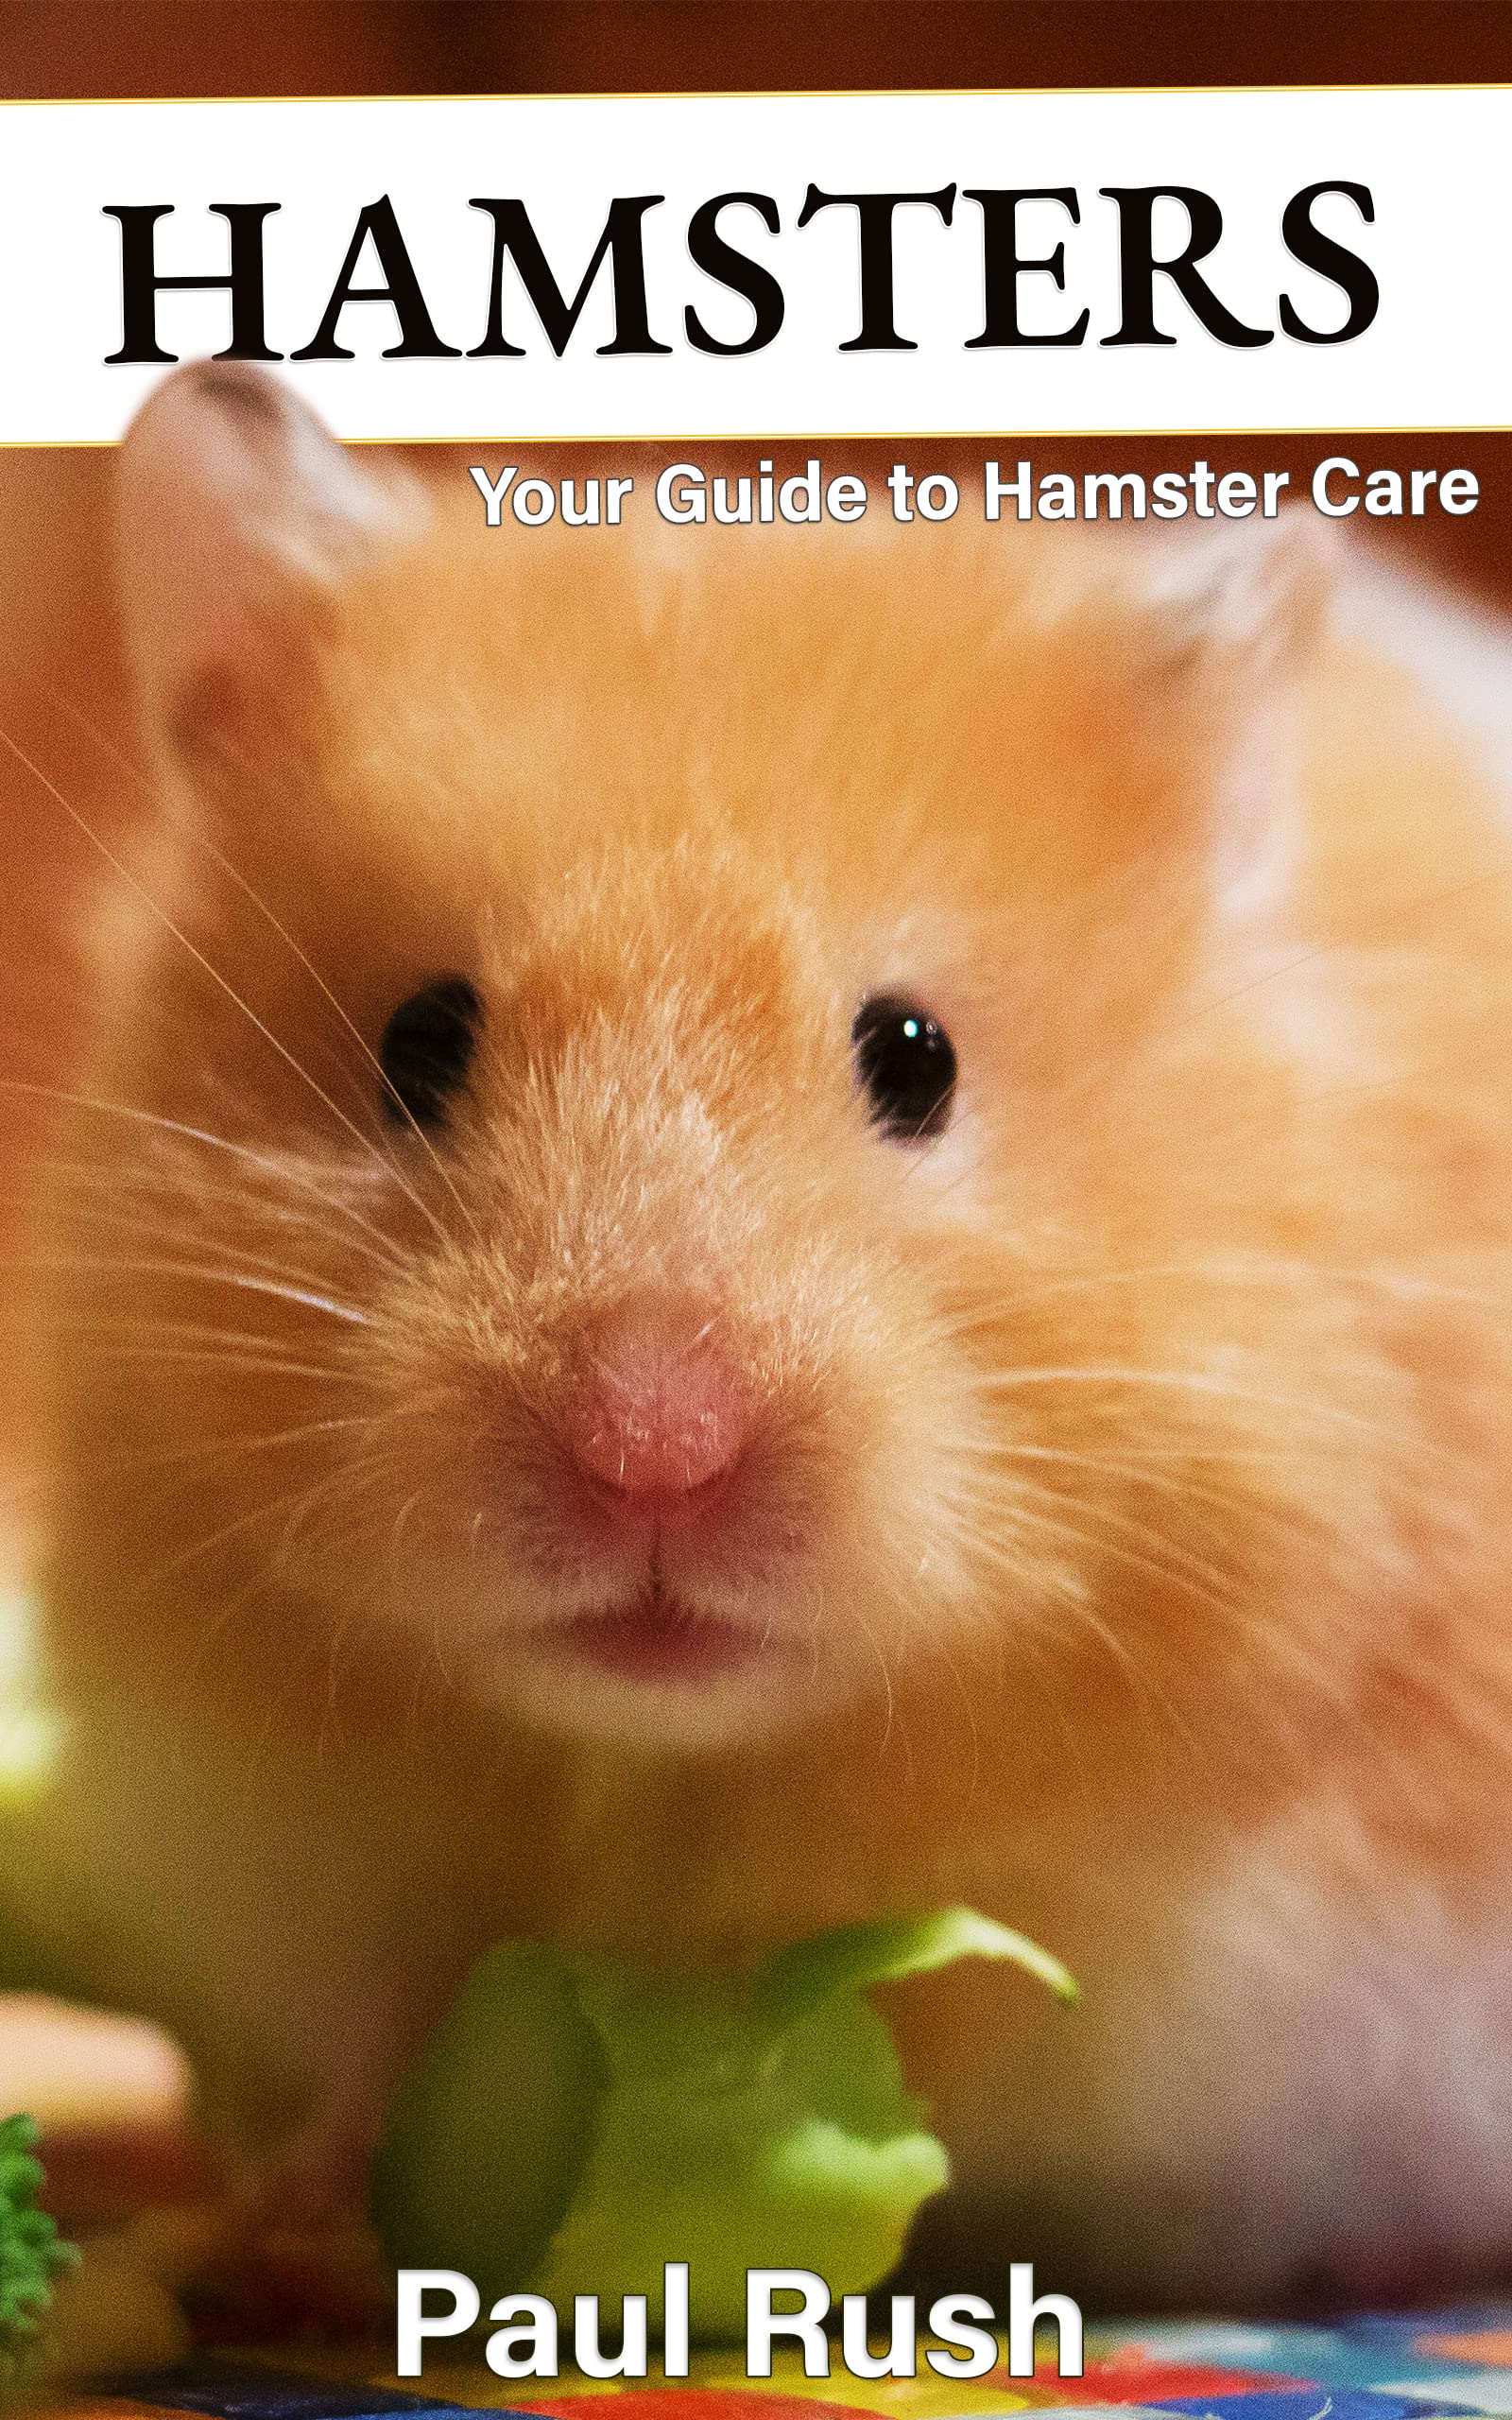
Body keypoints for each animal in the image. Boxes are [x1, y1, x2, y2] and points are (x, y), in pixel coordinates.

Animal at [8, 358, 1512, 2320]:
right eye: (420, 1040)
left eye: (913, 1058)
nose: (652, 1453)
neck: (668, 1770)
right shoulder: (292, 1830)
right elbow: (376, 2028)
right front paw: (311, 2214)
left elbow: (986, 2013)